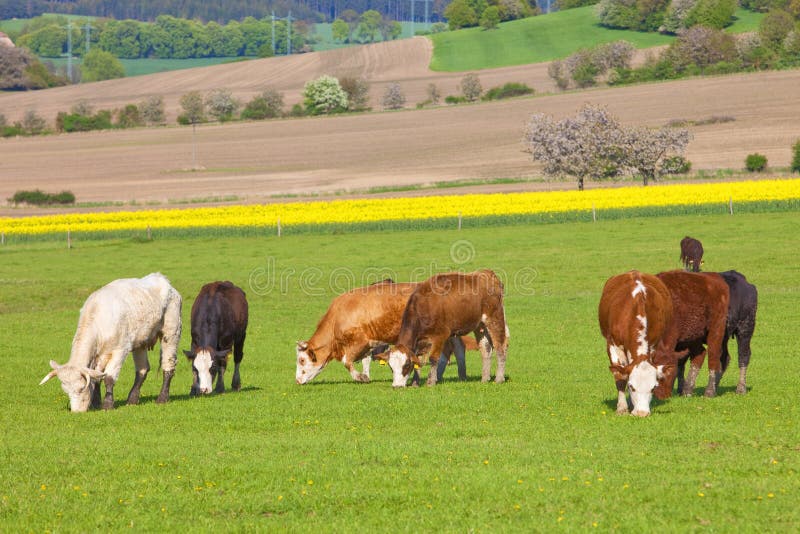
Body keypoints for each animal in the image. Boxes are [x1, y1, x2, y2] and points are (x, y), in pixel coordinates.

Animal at [39, 273, 182, 412]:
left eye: (81, 388)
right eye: (66, 390)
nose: (76, 411)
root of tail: (165, 281)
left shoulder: (120, 350)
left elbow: (109, 377)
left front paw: (107, 405)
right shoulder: (99, 355)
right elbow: (97, 377)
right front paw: (96, 403)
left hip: (171, 333)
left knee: (168, 365)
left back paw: (162, 398)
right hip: (140, 341)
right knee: (142, 369)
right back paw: (132, 400)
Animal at [372, 270, 509, 388]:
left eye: (406, 365)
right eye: (391, 367)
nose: (397, 386)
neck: (423, 306)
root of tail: (488, 274)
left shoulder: (440, 335)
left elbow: (433, 359)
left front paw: (430, 382)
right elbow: (419, 360)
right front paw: (415, 383)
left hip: (495, 319)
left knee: (500, 347)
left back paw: (499, 378)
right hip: (480, 325)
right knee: (486, 349)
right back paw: (484, 378)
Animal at [598, 271, 673, 417]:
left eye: (653, 388)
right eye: (631, 387)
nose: (641, 413)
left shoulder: (653, 345)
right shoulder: (613, 344)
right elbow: (620, 376)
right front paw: (622, 408)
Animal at [653, 270, 730, 399]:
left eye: (669, 370)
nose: (661, 395)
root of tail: (716, 278)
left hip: (716, 329)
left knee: (713, 356)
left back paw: (709, 392)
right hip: (693, 337)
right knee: (700, 354)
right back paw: (687, 390)